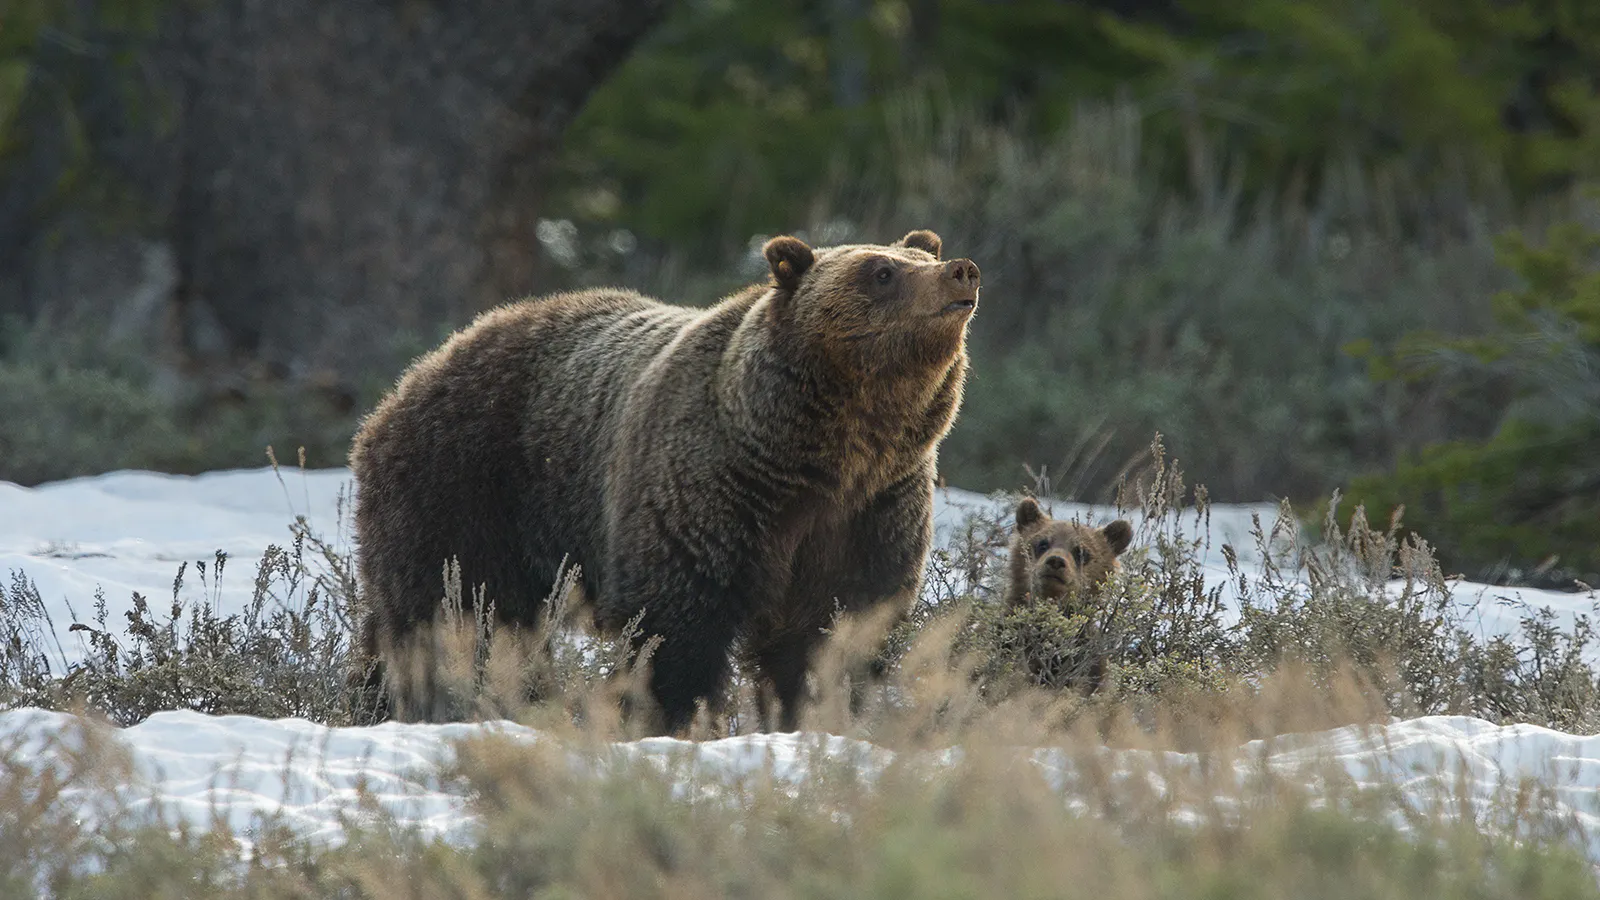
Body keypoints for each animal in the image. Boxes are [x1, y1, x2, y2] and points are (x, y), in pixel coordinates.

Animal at [349, 229, 980, 734]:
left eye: (919, 253)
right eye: (882, 271)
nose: (961, 270)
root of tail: (410, 379)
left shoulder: (871, 510)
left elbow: (837, 628)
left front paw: (817, 714)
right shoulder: (709, 493)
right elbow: (677, 628)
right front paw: (677, 719)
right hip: (464, 487)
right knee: (451, 617)